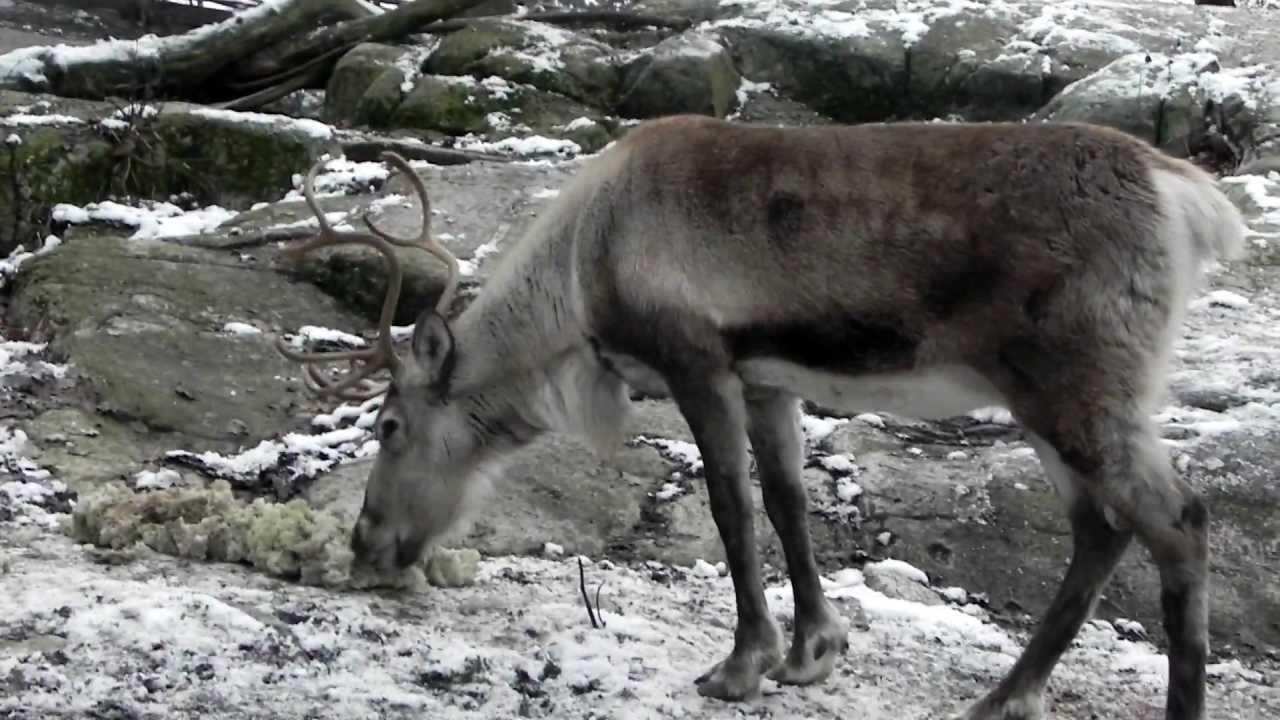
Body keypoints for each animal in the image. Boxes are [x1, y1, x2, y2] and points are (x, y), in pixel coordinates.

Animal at [274, 115, 1246, 720]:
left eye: (389, 426)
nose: (364, 543)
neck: (582, 284)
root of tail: (1189, 195)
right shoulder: (771, 379)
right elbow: (788, 503)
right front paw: (814, 649)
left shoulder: (695, 357)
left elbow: (731, 509)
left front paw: (740, 665)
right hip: (1050, 398)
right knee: (1103, 527)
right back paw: (1005, 695)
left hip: (1079, 381)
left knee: (1180, 519)